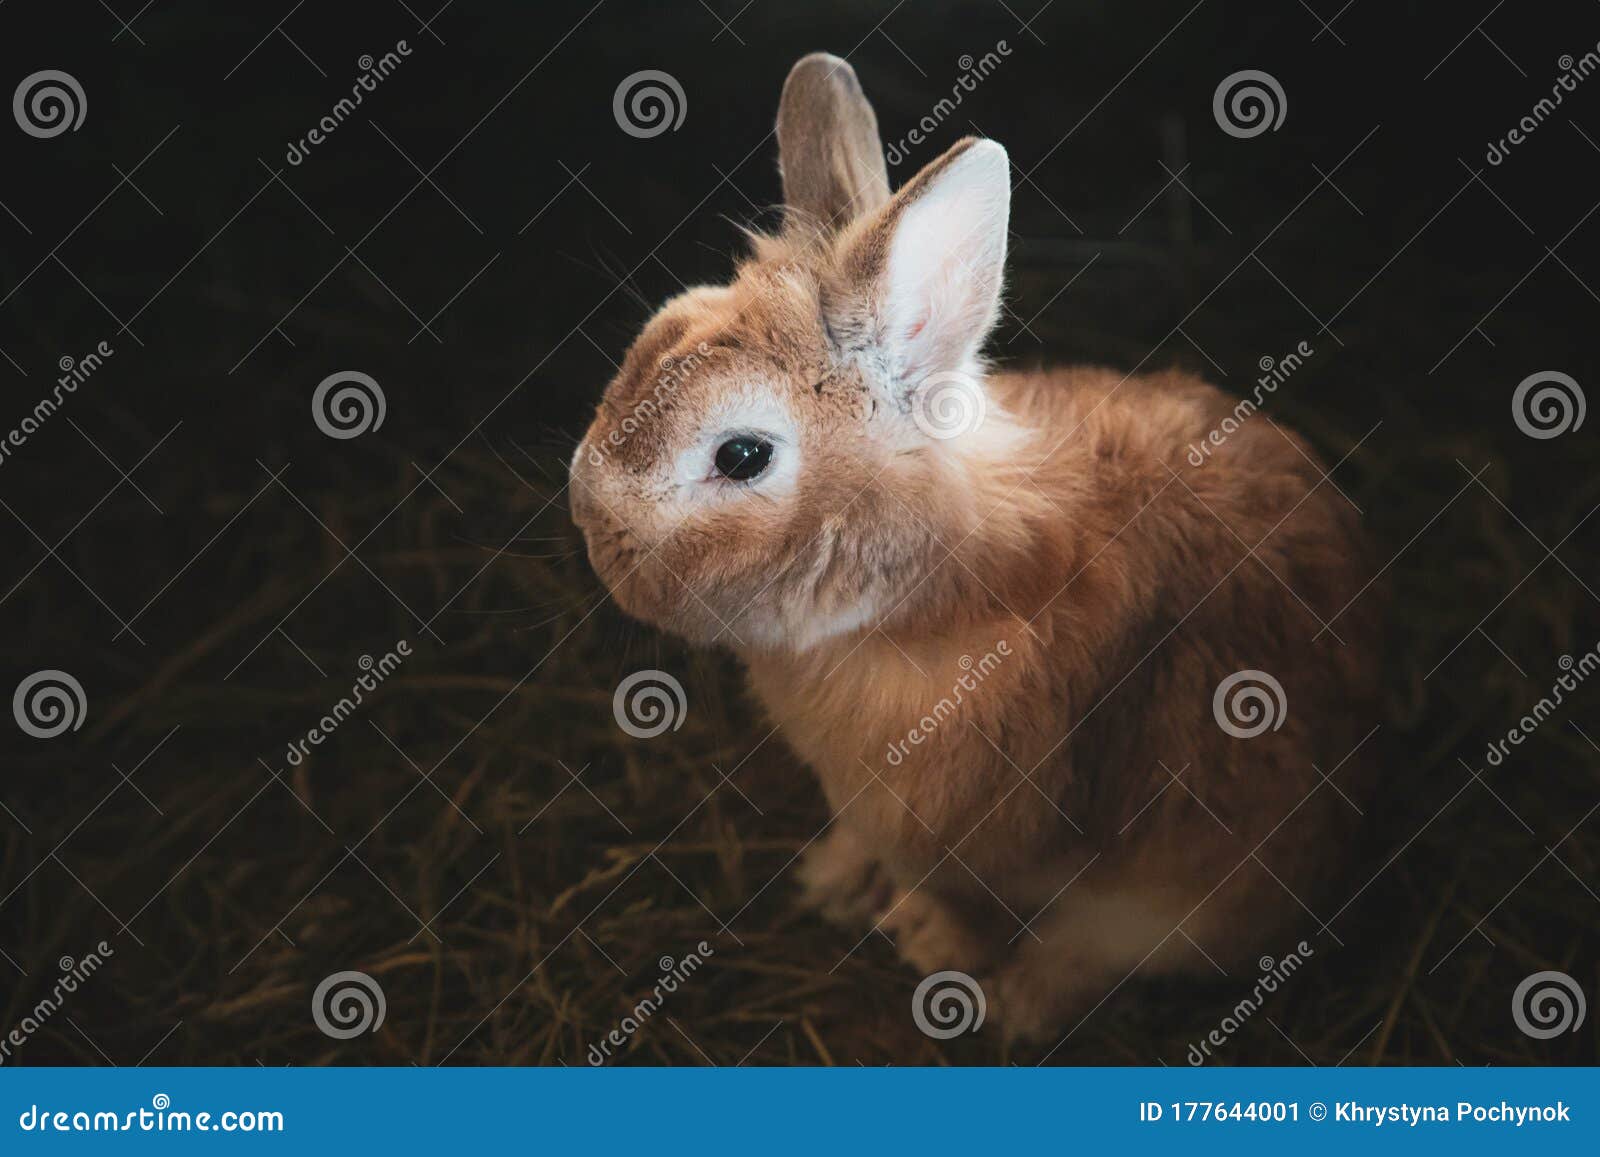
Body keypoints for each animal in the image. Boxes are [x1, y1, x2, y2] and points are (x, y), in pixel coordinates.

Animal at [569, 52, 1380, 1042]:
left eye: (743, 455)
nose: (589, 522)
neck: (920, 596)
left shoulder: (988, 843)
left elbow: (981, 909)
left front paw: (929, 946)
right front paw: (837, 883)